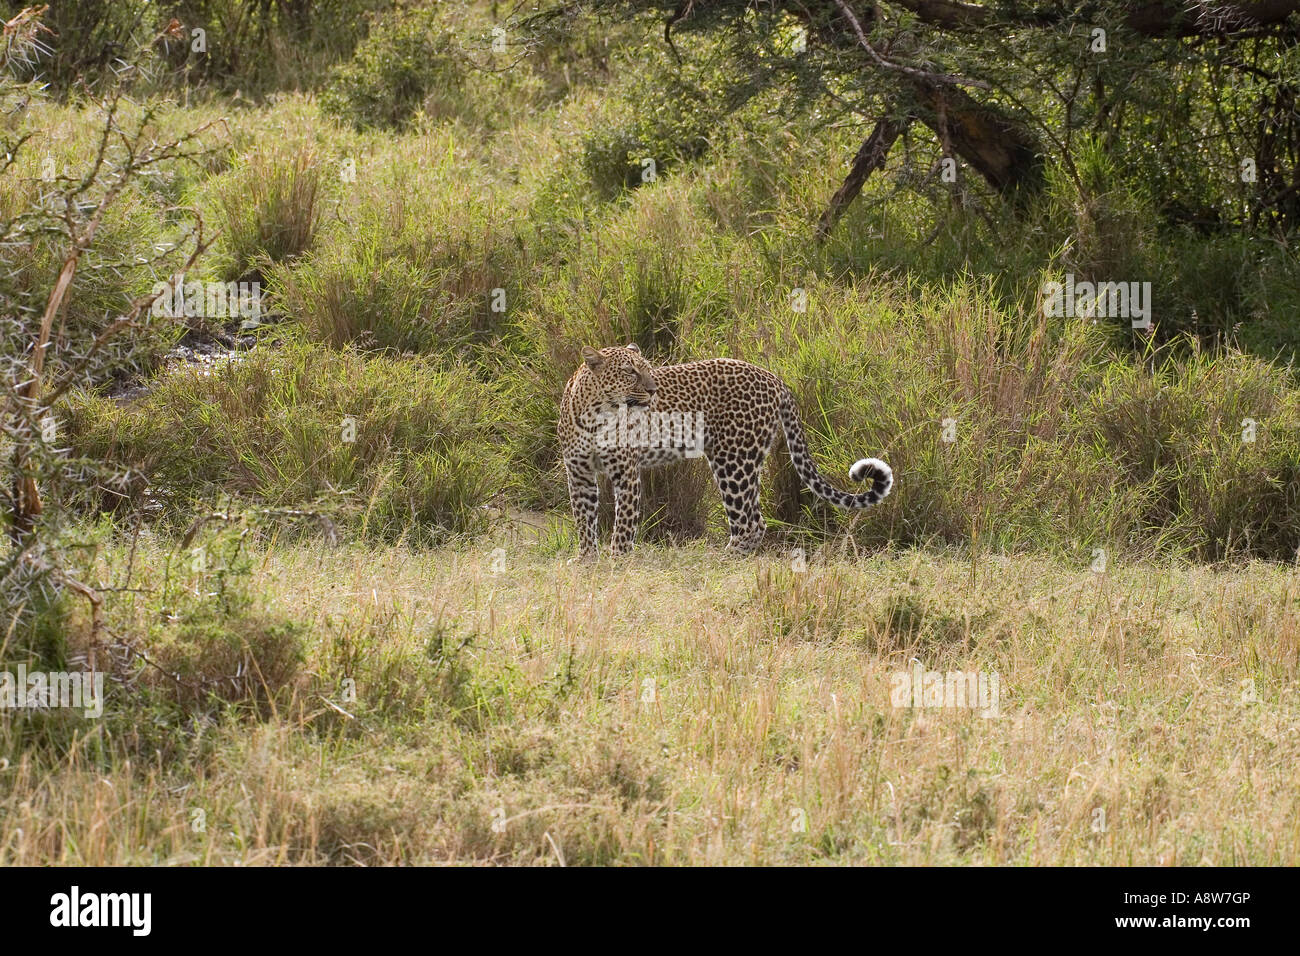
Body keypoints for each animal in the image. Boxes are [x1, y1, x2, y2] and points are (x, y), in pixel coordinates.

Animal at [558, 343, 893, 557]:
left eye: (648, 370)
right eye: (630, 372)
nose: (653, 391)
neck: (595, 414)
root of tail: (775, 379)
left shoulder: (626, 473)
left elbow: (624, 523)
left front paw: (617, 559)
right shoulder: (580, 474)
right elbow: (584, 519)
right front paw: (587, 560)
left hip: (732, 459)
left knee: (748, 521)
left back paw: (725, 557)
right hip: (748, 460)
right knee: (756, 518)